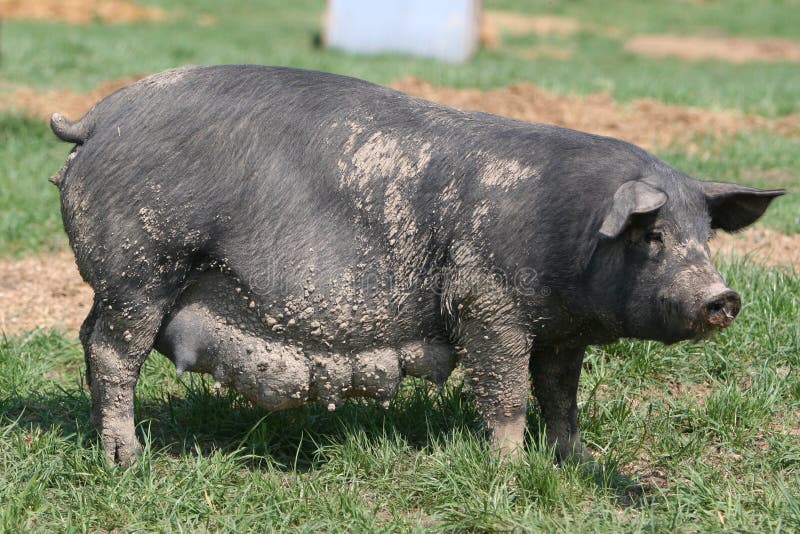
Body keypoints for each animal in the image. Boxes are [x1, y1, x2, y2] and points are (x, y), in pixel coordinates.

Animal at [49, 65, 783, 466]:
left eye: (705, 235)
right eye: (652, 233)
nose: (722, 297)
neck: (569, 234)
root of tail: (97, 119)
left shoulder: (560, 333)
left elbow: (560, 396)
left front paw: (575, 461)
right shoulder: (487, 305)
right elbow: (506, 394)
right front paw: (509, 470)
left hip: (121, 283)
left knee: (87, 339)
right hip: (138, 270)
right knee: (114, 354)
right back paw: (127, 460)